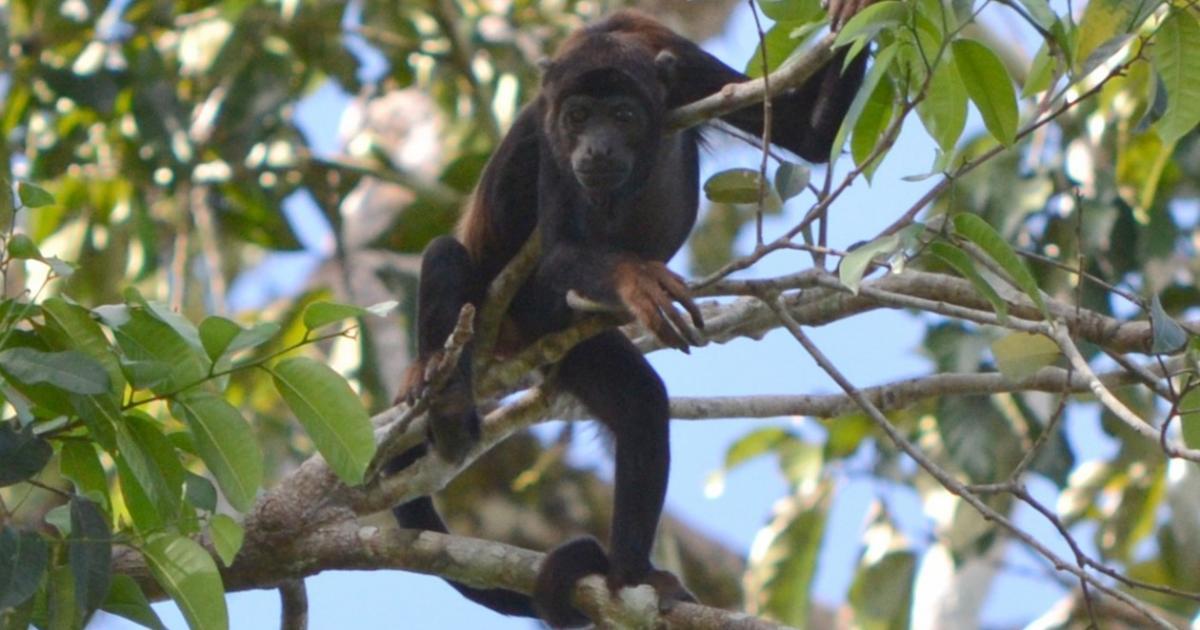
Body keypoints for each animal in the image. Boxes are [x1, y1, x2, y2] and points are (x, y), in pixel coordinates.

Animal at [388, 4, 876, 627]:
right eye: (577, 117)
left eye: (622, 116)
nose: (596, 149)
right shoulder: (549, 130)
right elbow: (556, 252)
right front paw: (634, 278)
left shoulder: (685, 68)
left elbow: (806, 136)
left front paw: (854, 14)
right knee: (445, 253)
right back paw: (442, 396)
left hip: (574, 349)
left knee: (641, 405)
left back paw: (631, 573)